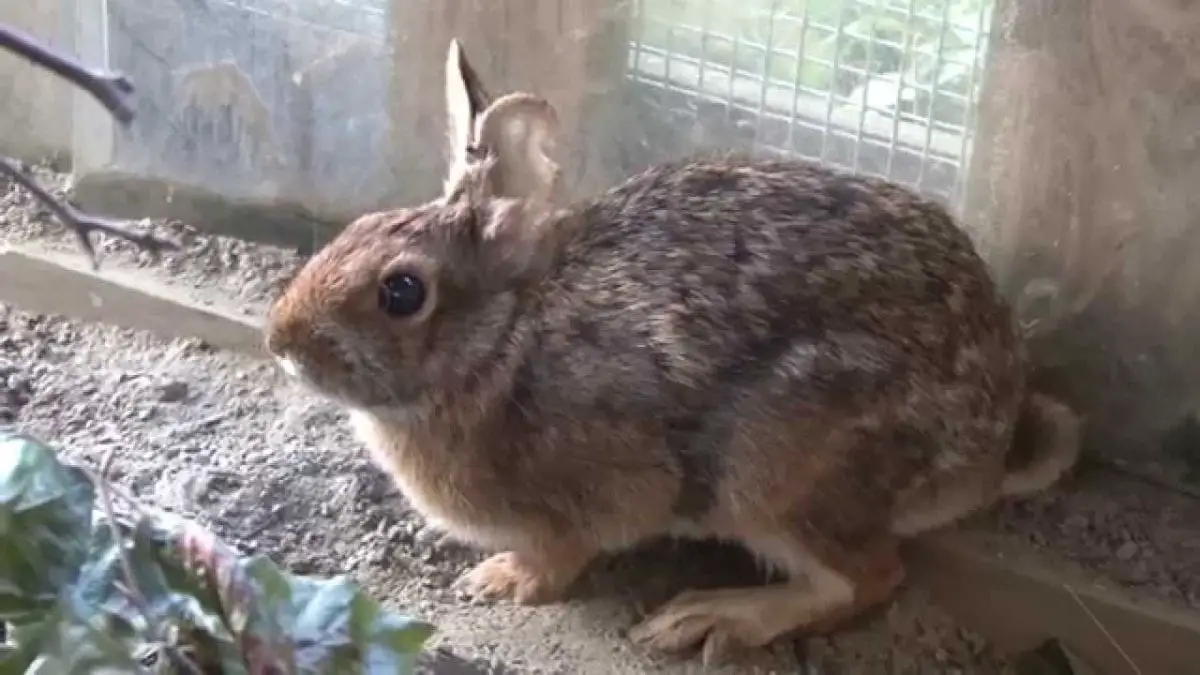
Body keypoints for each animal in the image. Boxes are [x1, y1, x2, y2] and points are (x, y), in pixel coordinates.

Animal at [264, 39, 1082, 664]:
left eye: (402, 292)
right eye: (355, 229)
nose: (280, 339)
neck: (500, 343)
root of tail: (987, 454)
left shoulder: (595, 494)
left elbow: (564, 552)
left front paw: (503, 581)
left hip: (776, 469)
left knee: (871, 577)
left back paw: (709, 618)